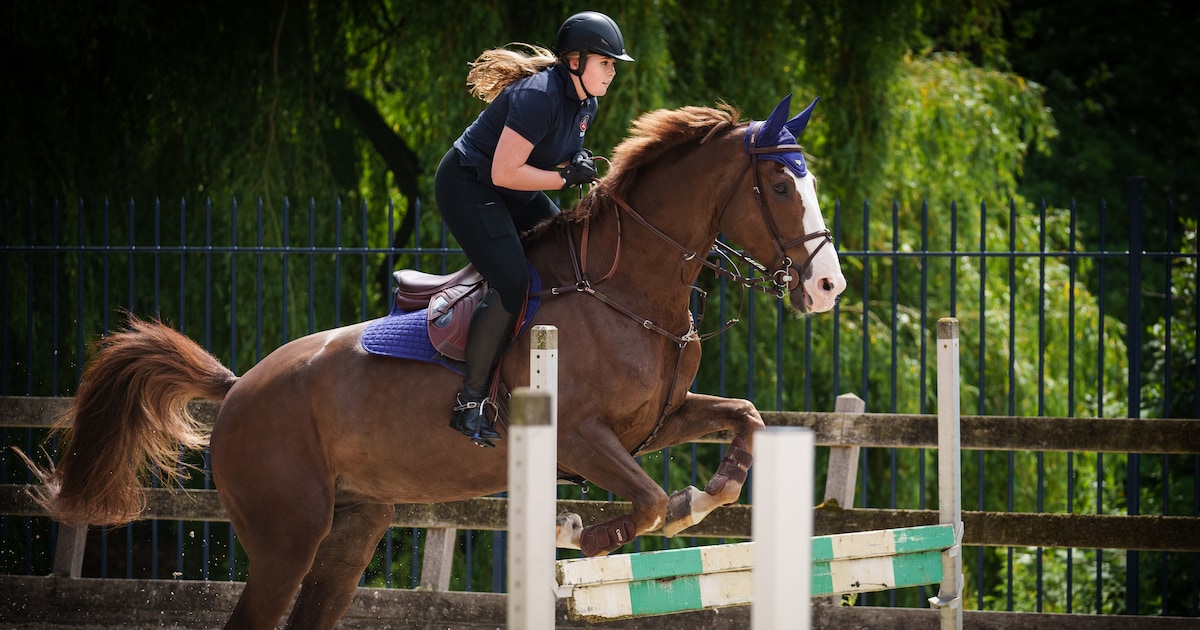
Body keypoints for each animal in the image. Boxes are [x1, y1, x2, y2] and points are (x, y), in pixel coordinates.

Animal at [18, 94, 846, 629]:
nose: (827, 286)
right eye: (780, 184)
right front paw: (578, 532)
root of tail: (239, 387)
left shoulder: (658, 421)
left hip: (351, 530)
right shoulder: (582, 438)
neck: (626, 288)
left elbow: (741, 420)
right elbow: (647, 503)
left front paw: (712, 493)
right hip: (288, 537)